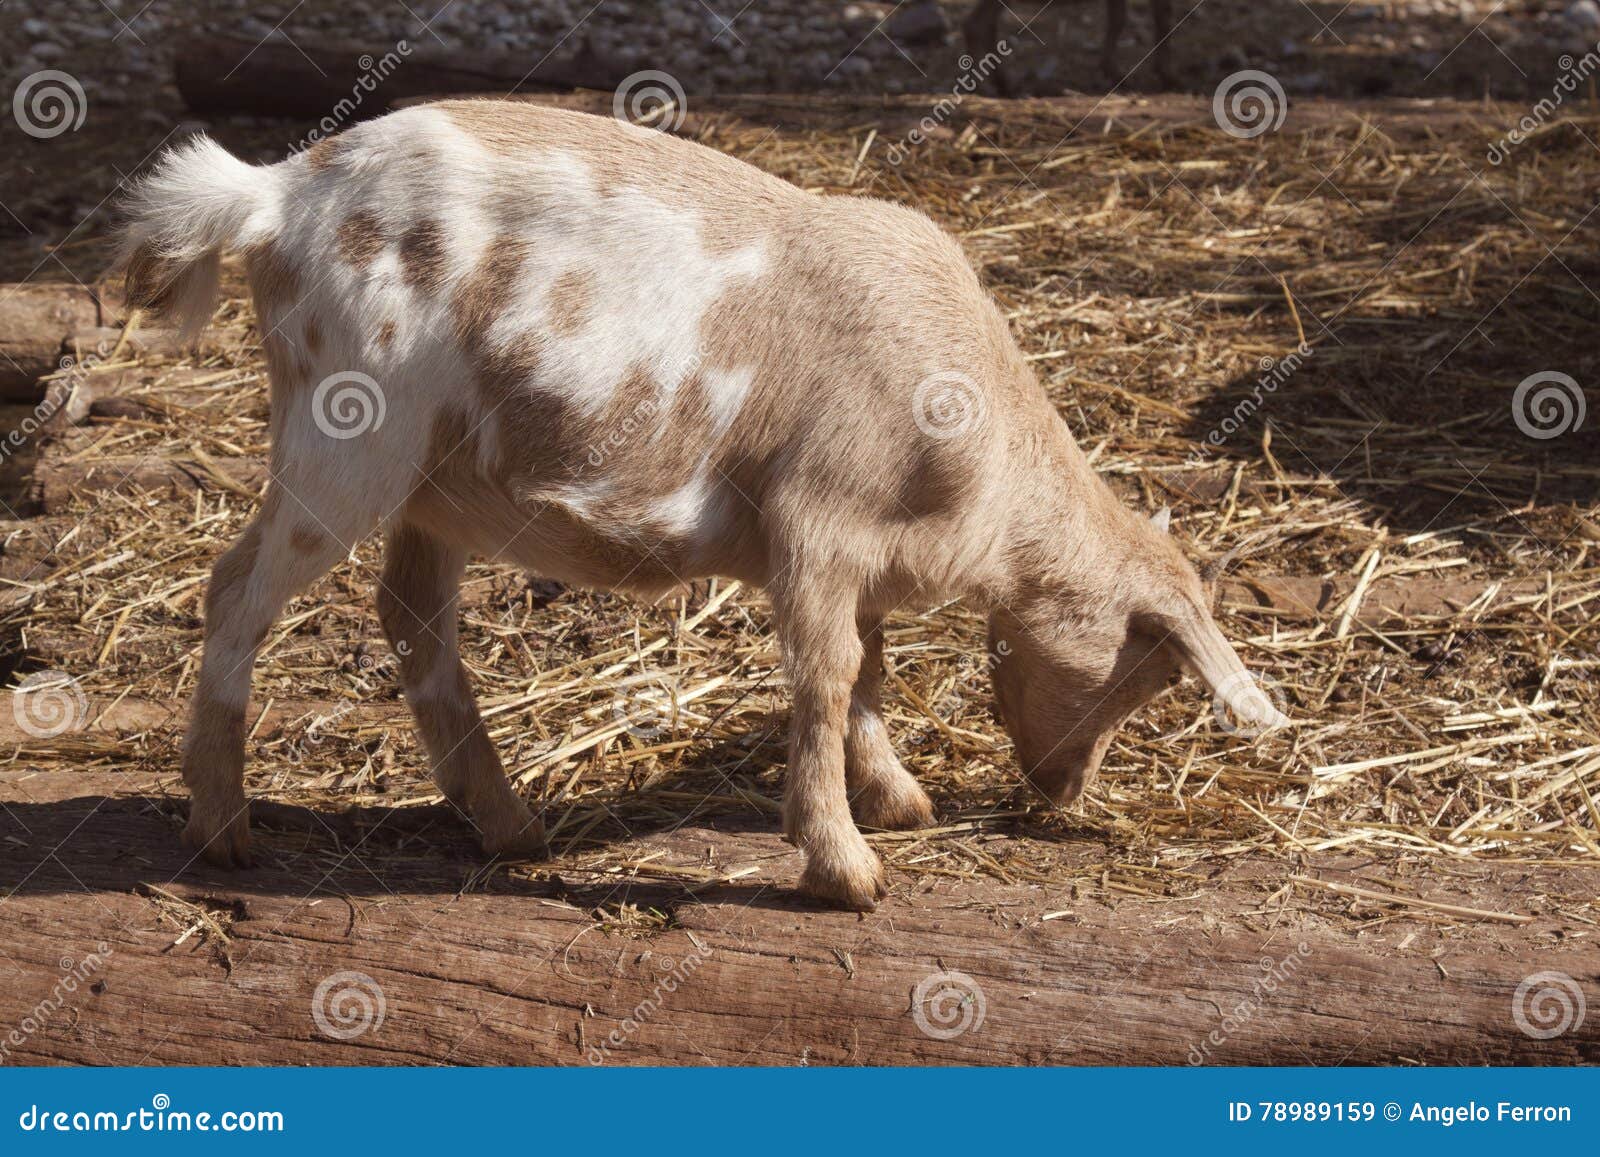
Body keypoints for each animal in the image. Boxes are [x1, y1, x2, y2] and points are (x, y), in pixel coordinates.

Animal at [119, 101, 1282, 910]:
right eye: (1141, 668)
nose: (1058, 791)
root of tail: (272, 192)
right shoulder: (817, 518)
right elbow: (827, 676)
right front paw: (849, 871)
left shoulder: (852, 558)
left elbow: (868, 671)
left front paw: (901, 802)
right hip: (347, 434)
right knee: (237, 591)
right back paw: (225, 831)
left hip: (436, 483)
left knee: (412, 619)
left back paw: (512, 828)